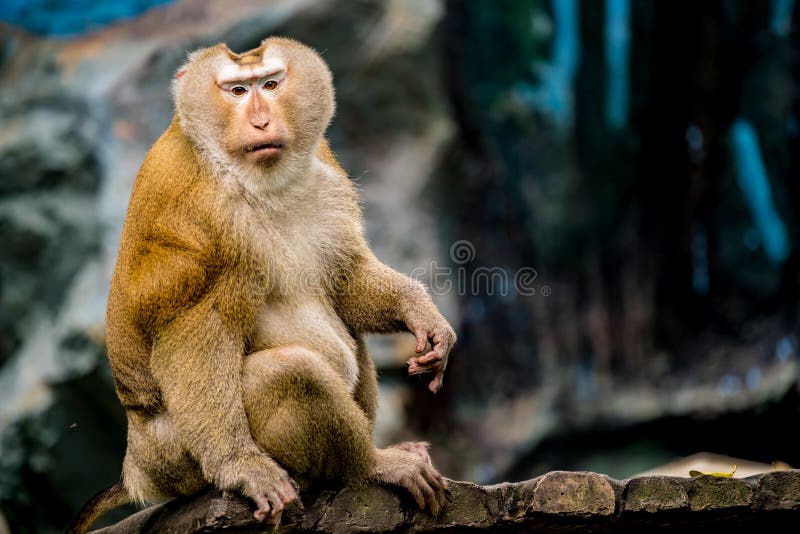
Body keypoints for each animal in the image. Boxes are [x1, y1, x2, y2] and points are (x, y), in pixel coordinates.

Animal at [67, 36, 456, 533]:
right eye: (237, 90)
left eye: (269, 84)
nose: (260, 120)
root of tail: (137, 462)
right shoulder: (202, 217)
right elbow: (196, 333)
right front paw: (241, 466)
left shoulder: (323, 164)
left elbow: (345, 278)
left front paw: (422, 315)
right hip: (178, 456)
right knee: (289, 373)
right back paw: (370, 466)